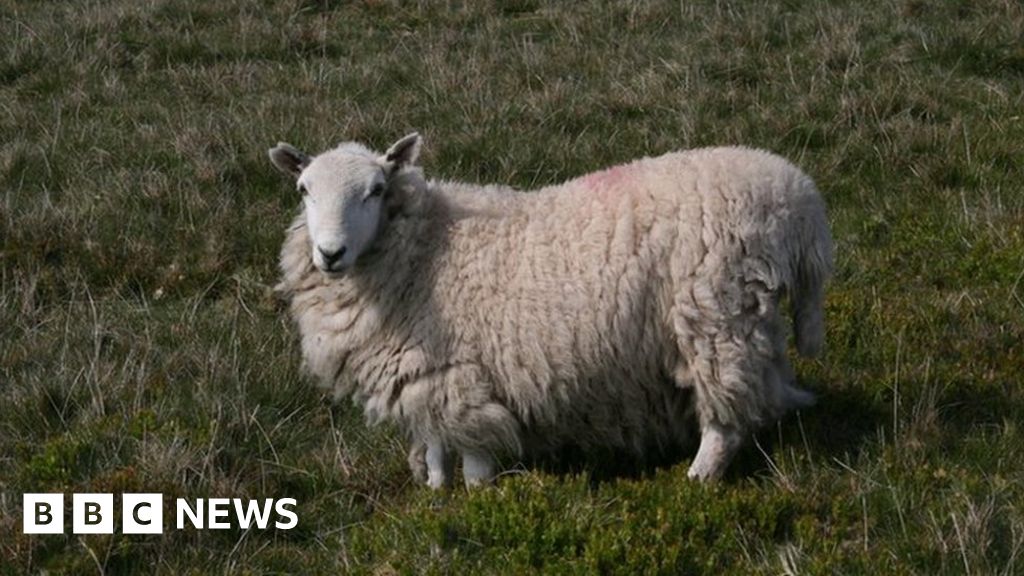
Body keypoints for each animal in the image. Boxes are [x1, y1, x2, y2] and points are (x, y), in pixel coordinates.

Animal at [269, 133, 833, 488]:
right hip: (748, 319)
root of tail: (800, 199)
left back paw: (697, 482)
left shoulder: (460, 374)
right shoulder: (424, 375)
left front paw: (477, 499)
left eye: (376, 190)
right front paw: (435, 492)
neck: (423, 249)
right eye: (303, 190)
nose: (330, 253)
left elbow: (473, 454)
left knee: (725, 420)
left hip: (715, 319)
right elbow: (433, 443)